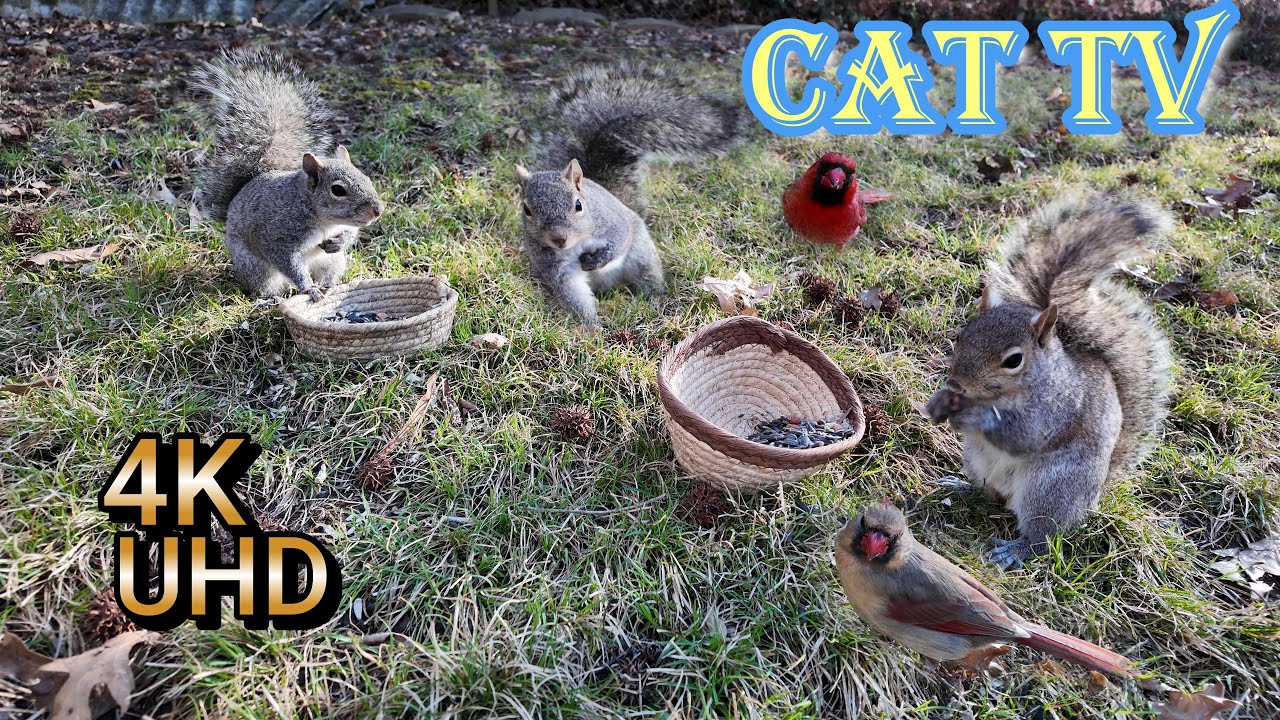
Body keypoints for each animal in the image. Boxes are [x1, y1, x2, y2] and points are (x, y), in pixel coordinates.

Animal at [190, 48, 384, 301]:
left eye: (367, 178)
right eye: (338, 190)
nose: (378, 210)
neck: (321, 217)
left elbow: (350, 232)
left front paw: (341, 241)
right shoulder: (279, 236)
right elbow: (289, 263)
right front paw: (308, 288)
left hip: (331, 262)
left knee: (329, 272)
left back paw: (329, 286)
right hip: (255, 267)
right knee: (263, 287)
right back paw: (271, 300)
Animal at [515, 62, 745, 328]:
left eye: (578, 205)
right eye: (527, 210)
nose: (559, 239)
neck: (577, 243)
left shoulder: (612, 221)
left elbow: (620, 238)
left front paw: (598, 260)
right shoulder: (556, 267)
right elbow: (574, 294)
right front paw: (592, 327)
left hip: (642, 255)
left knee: (648, 275)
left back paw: (654, 299)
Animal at [925, 195, 1172, 570]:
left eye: (1014, 360)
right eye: (963, 336)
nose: (957, 386)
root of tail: (1094, 494)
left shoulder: (1057, 409)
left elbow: (1023, 435)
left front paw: (976, 417)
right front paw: (941, 401)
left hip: (1051, 489)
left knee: (1044, 534)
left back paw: (1016, 550)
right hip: (977, 461)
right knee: (990, 493)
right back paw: (962, 486)